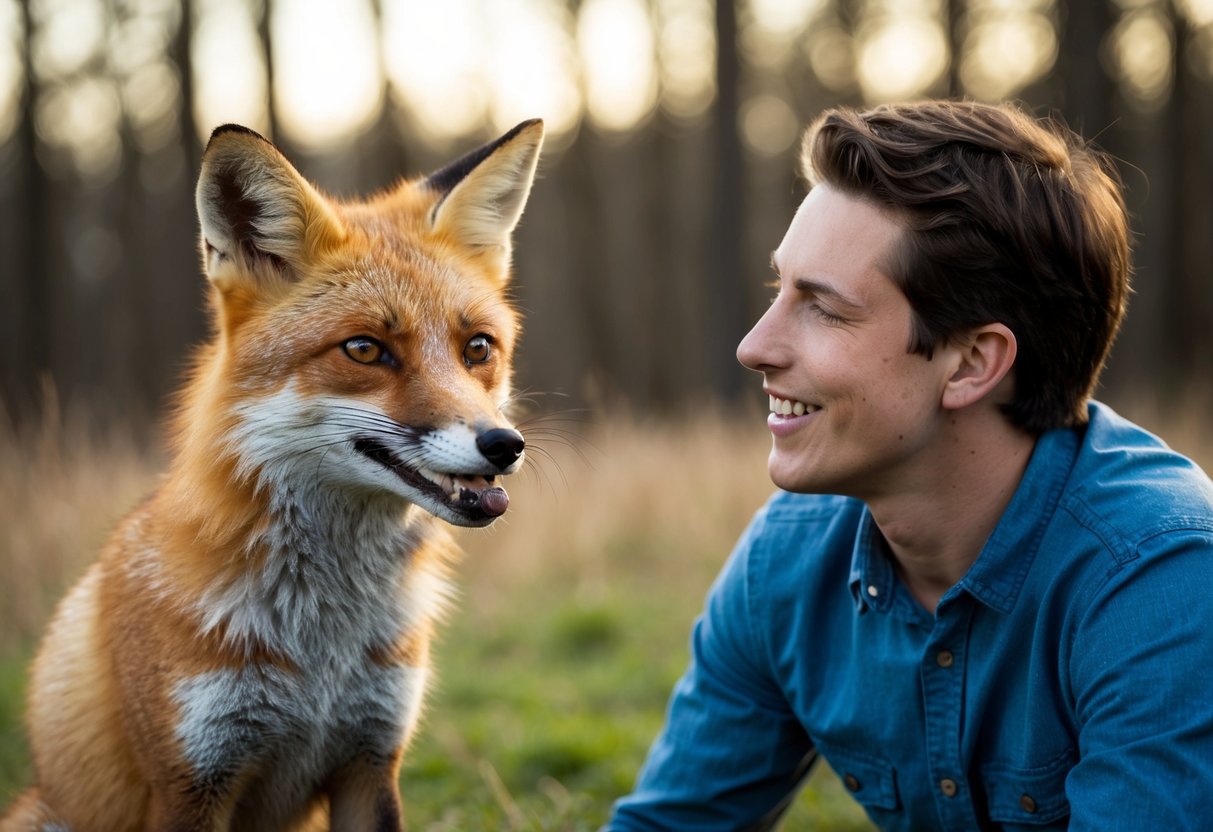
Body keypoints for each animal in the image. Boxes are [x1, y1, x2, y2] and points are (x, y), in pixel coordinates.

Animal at [1, 117, 544, 831]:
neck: (323, 650)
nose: (504, 445)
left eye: (478, 348)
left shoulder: (370, 759)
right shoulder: (192, 781)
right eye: (365, 349)